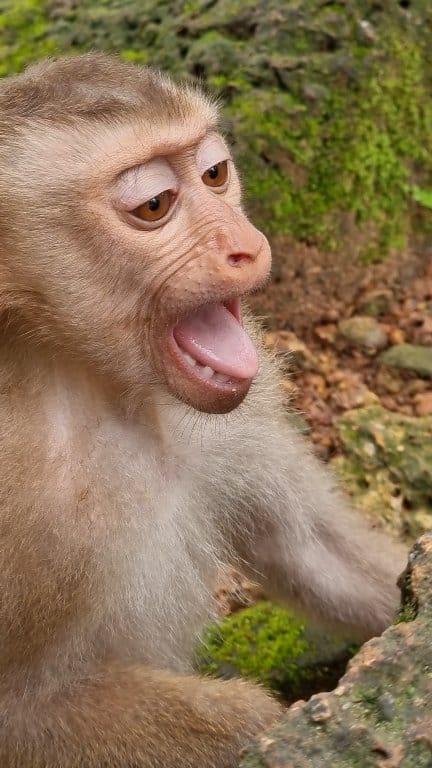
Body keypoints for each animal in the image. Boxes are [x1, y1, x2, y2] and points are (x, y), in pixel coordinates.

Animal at [0, 53, 406, 768]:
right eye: (154, 205)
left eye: (215, 174)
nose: (247, 244)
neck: (105, 387)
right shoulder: (19, 509)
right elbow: (19, 714)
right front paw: (254, 724)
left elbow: (306, 543)